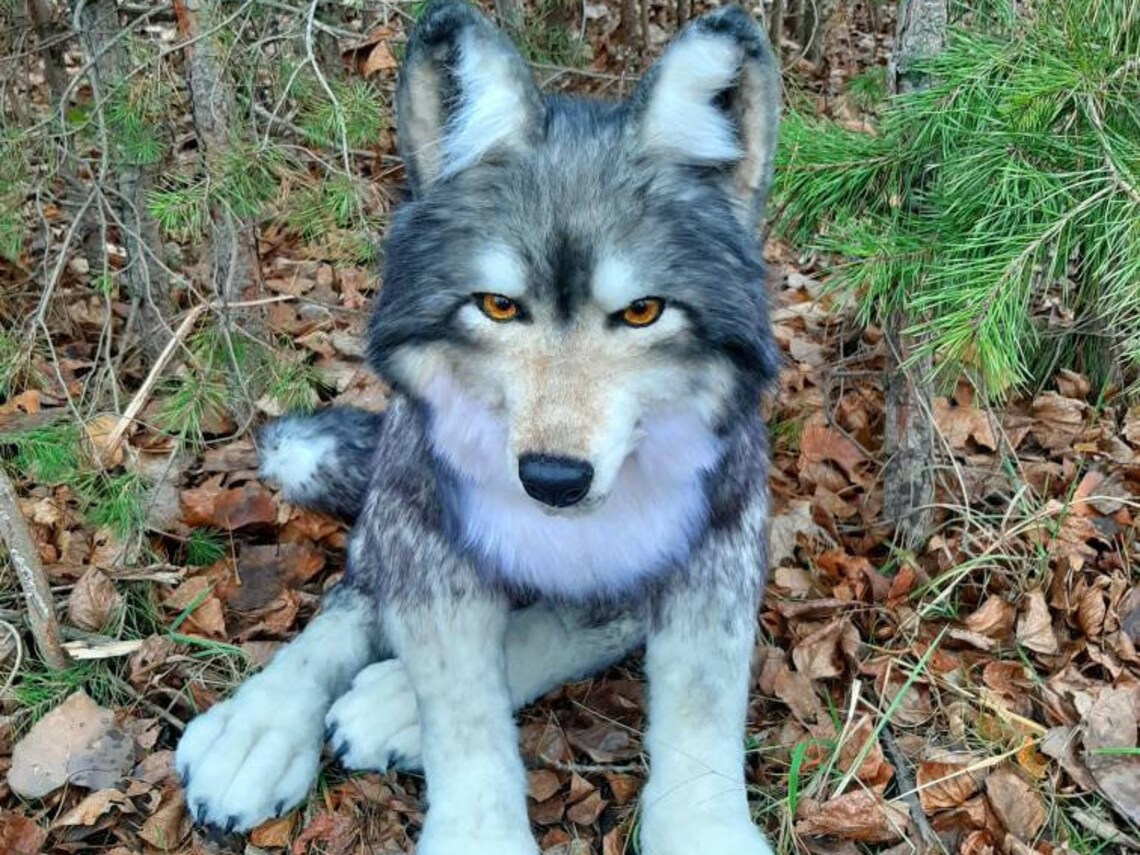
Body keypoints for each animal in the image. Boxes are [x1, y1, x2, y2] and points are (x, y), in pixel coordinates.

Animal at [175, 3, 780, 853]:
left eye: (642, 311)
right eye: (498, 306)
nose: (554, 480)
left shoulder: (721, 540)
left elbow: (700, 718)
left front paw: (703, 830)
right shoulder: (428, 538)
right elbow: (464, 721)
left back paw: (389, 703)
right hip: (399, 490)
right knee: (356, 594)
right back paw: (260, 729)